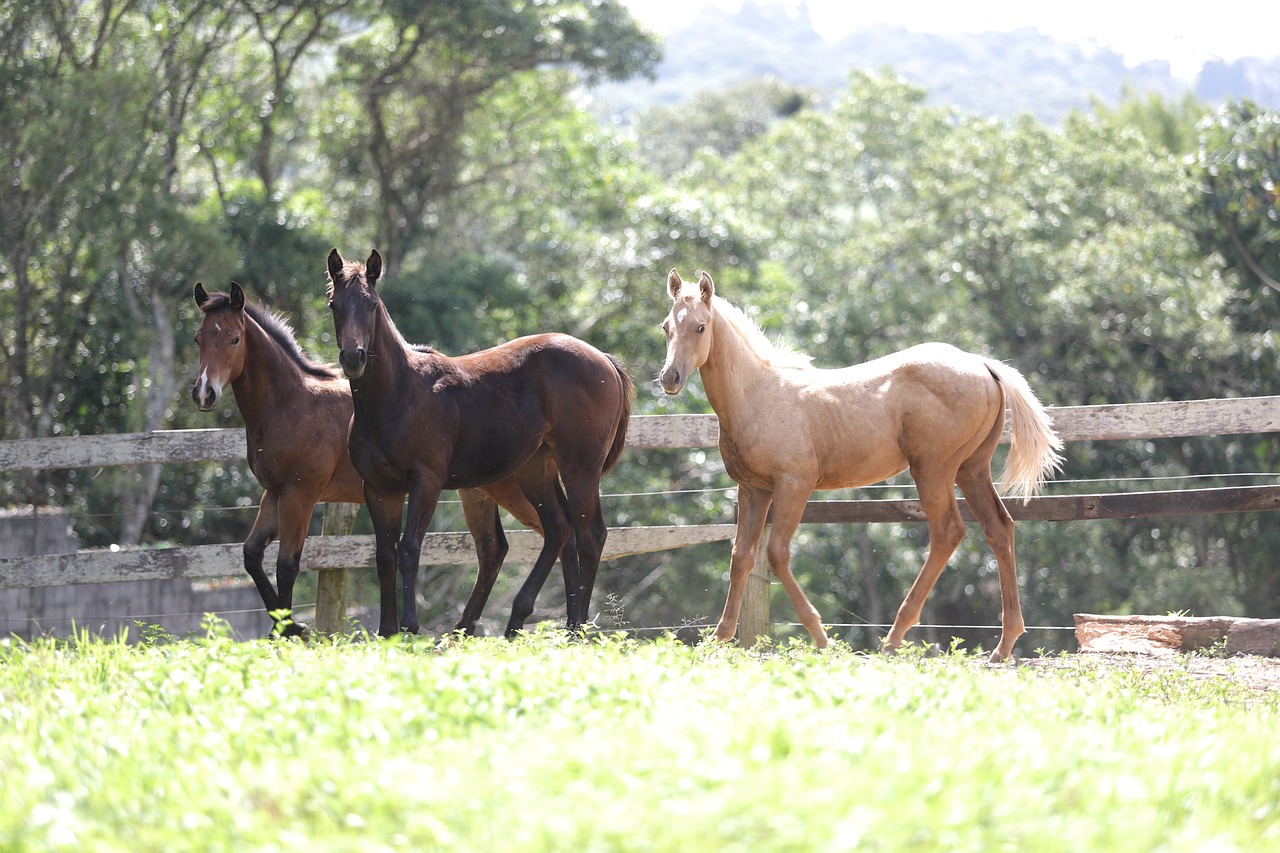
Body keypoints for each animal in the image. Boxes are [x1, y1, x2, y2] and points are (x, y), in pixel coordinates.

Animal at [191, 281, 580, 638]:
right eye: (199, 338)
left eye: (234, 339)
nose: (204, 393)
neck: (290, 403)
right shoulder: (272, 495)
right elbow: (251, 555)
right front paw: (291, 627)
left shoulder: (298, 495)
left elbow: (287, 565)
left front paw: (288, 631)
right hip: (478, 492)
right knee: (498, 549)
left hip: (511, 490)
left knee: (560, 533)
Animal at [325, 248, 634, 638]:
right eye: (334, 305)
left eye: (372, 304)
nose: (354, 359)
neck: (398, 394)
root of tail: (605, 360)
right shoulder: (379, 489)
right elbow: (384, 556)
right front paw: (387, 631)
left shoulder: (426, 480)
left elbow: (409, 548)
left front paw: (410, 627)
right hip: (536, 470)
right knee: (559, 529)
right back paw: (525, 621)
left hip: (580, 466)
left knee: (590, 536)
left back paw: (574, 631)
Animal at [658, 269, 1063, 662]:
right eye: (666, 327)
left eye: (700, 327)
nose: (670, 378)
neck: (758, 394)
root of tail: (982, 363)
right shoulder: (753, 490)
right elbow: (741, 556)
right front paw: (719, 638)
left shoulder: (794, 484)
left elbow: (776, 553)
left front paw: (821, 638)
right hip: (971, 469)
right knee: (999, 528)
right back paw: (1003, 645)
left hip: (933, 469)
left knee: (948, 531)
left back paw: (894, 639)